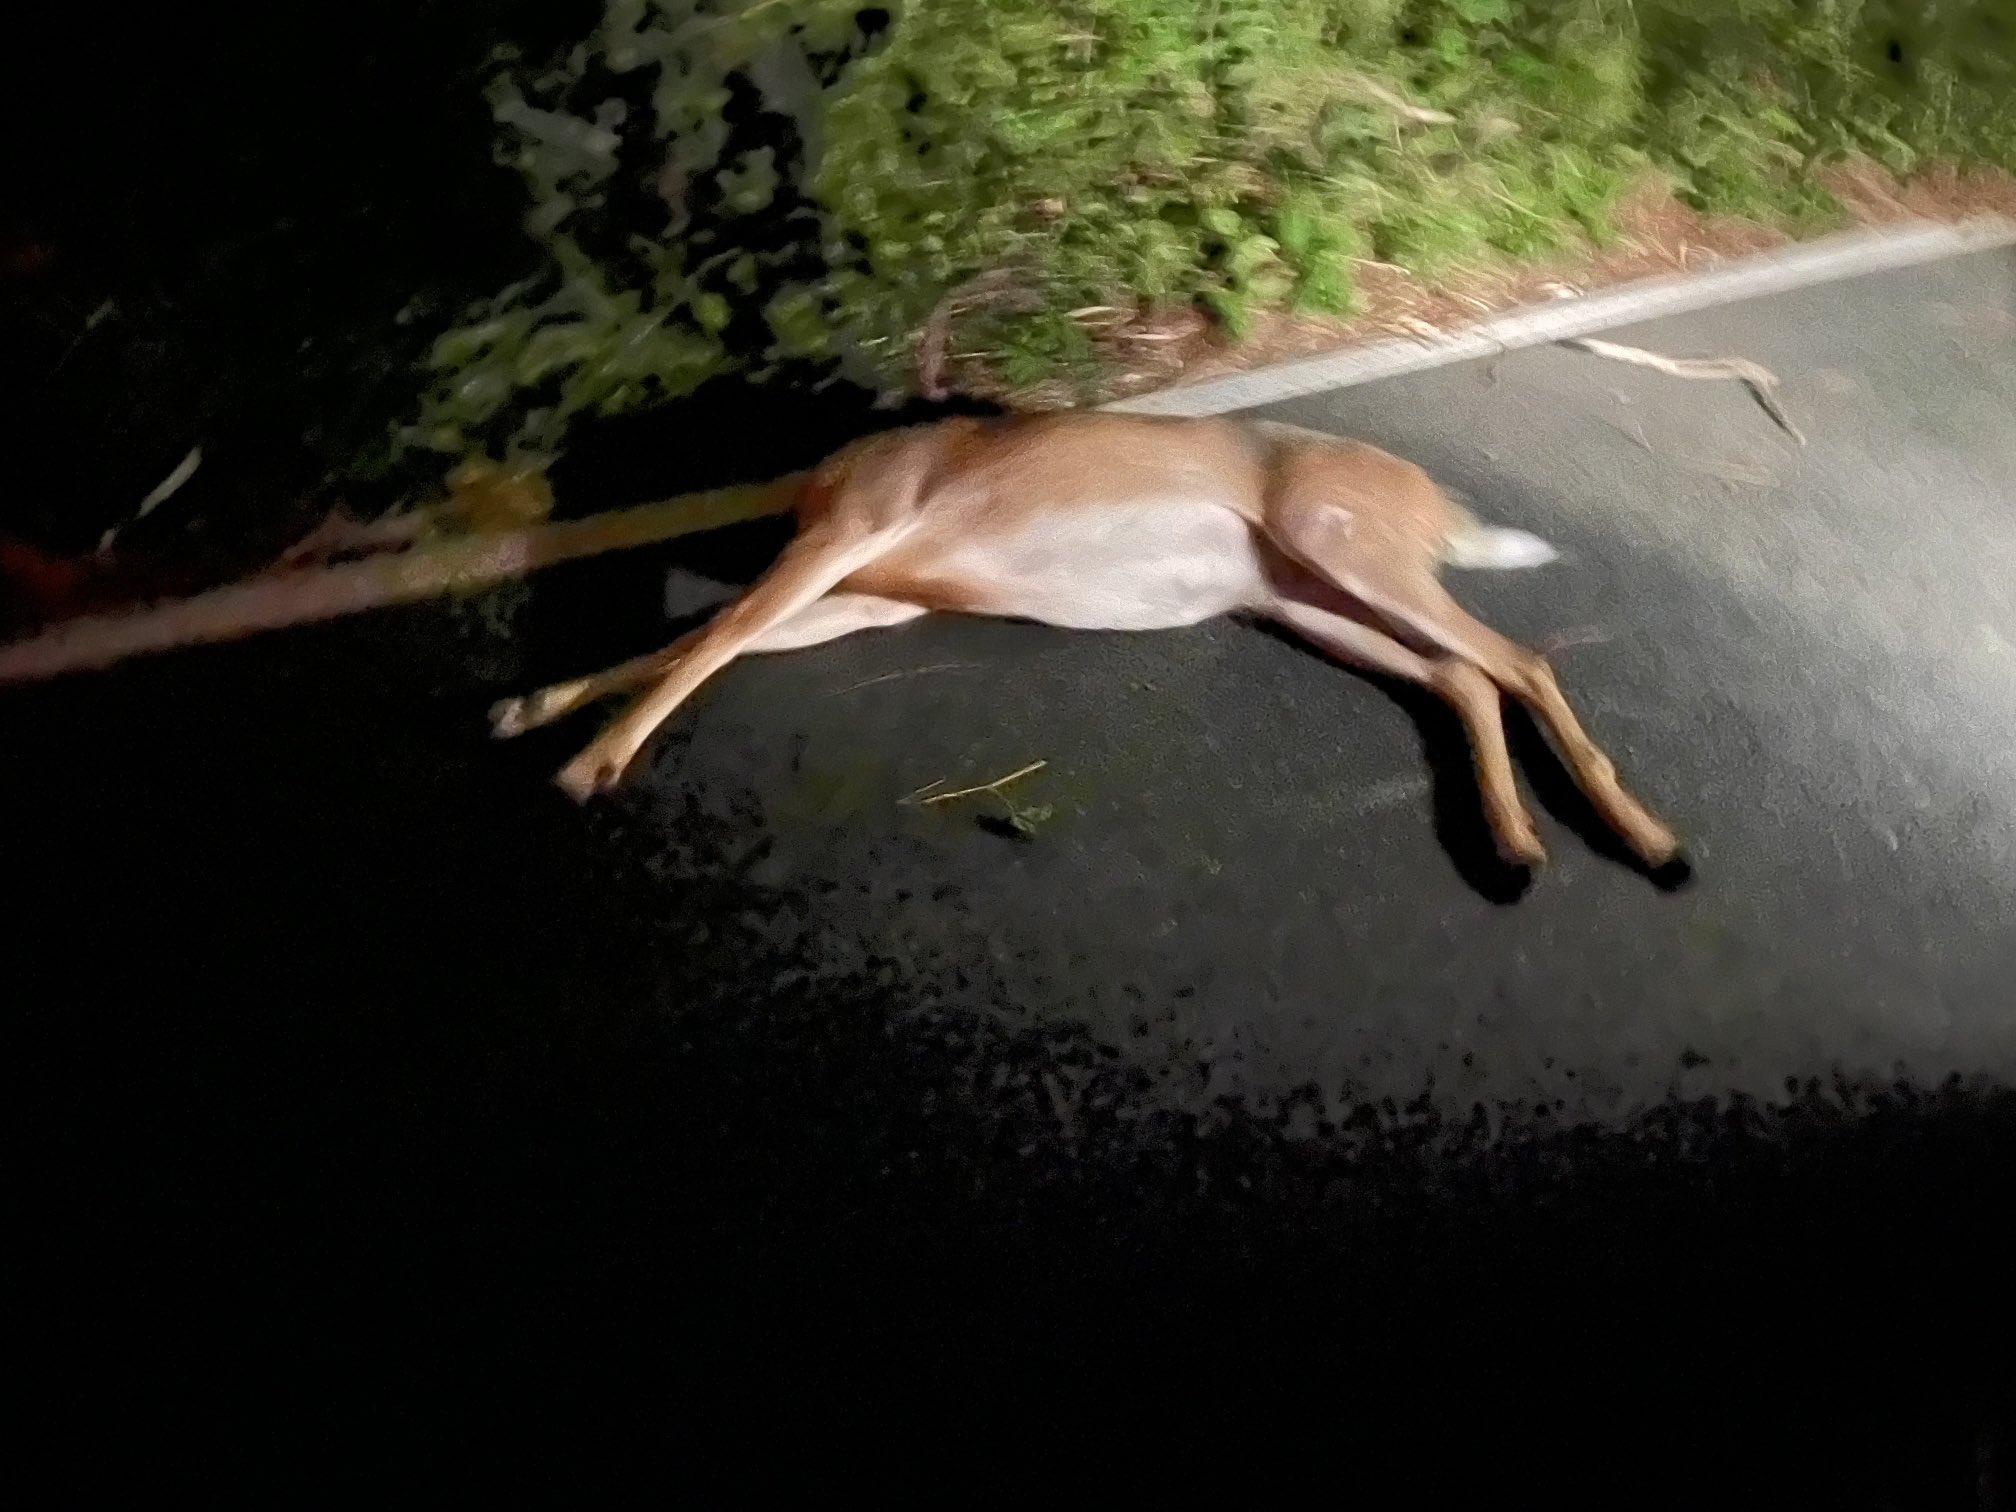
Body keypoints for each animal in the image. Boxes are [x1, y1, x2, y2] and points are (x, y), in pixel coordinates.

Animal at [489, 410, 1680, 872]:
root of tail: (1433, 501)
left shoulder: (857, 533)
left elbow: (711, 636)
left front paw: (588, 764)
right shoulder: (876, 594)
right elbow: (701, 641)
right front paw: (529, 707)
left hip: (1342, 543)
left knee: (1518, 658)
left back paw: (1646, 838)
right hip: (1297, 597)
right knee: (1461, 677)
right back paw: (1519, 844)